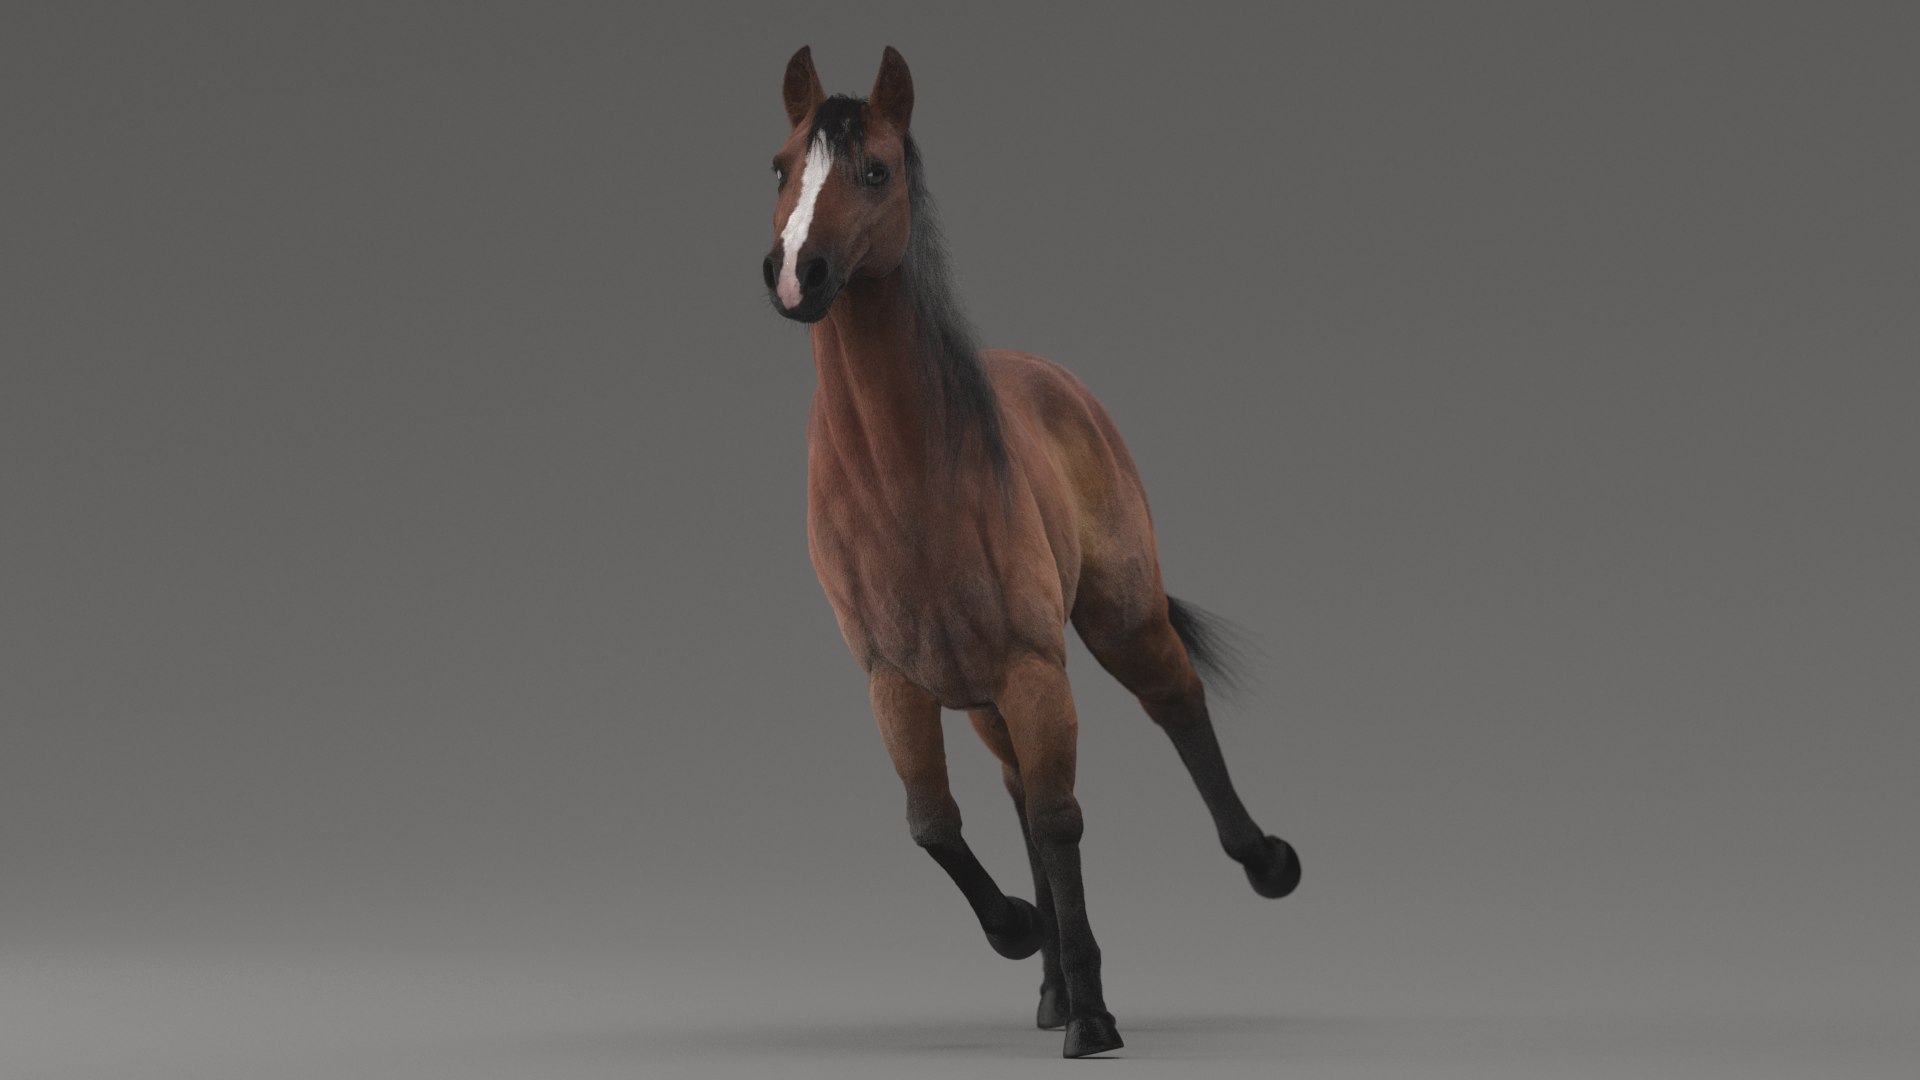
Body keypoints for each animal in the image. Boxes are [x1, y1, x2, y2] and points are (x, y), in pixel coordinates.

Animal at [760, 45, 1302, 1059]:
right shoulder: (894, 682)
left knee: (1175, 705)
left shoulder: (1036, 666)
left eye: (875, 171)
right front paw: (1023, 936)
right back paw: (1048, 981)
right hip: (980, 695)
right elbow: (936, 824)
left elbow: (1060, 821)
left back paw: (1267, 863)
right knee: (1012, 793)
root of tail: (1059, 381)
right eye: (779, 168)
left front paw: (1093, 1017)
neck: (903, 478)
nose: (792, 274)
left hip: (1119, 620)